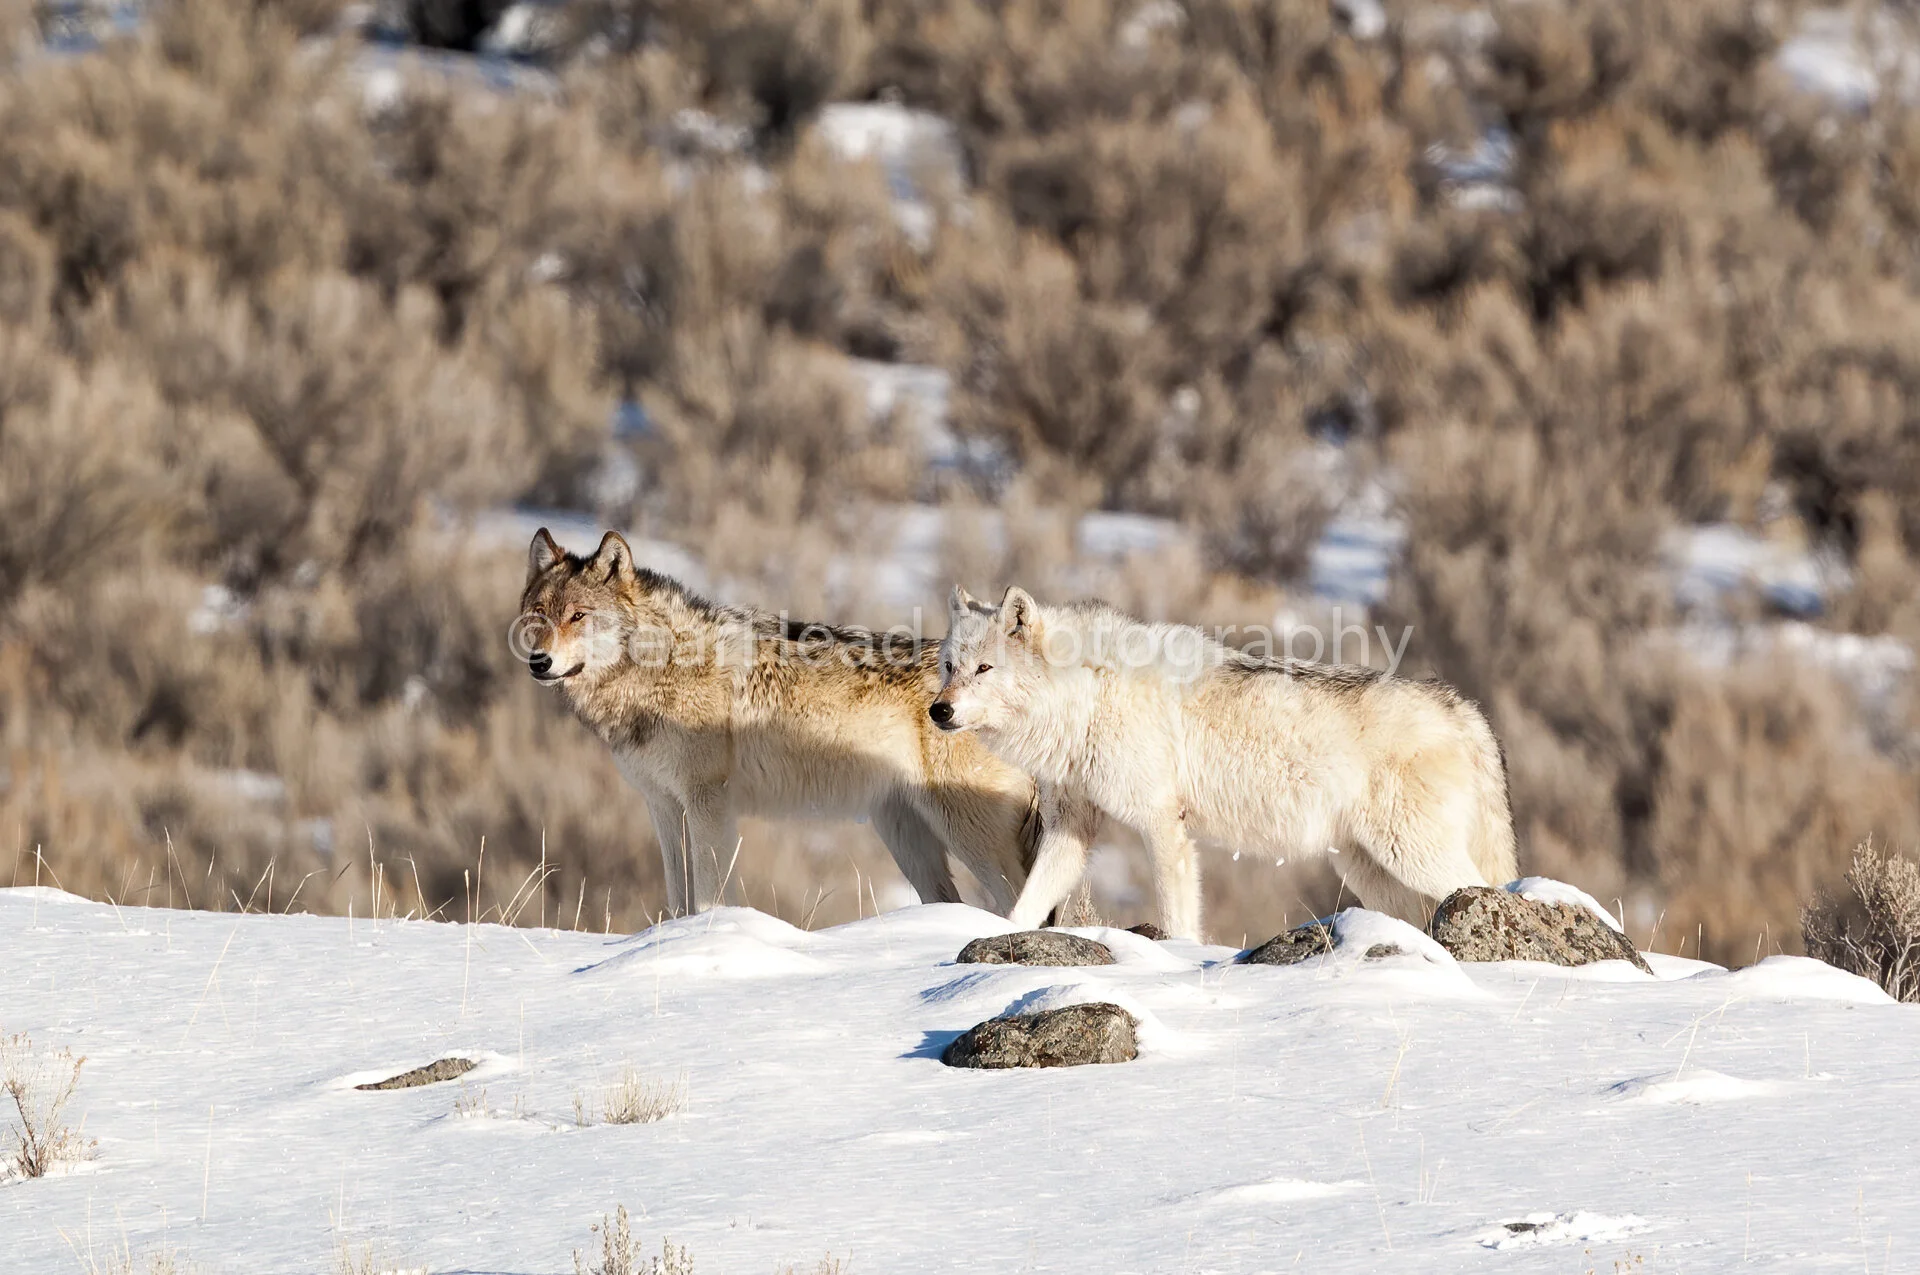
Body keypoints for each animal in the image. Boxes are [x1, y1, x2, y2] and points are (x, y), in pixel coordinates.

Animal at [518, 529, 1041, 917]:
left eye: (579, 616)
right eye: (538, 614)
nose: (539, 663)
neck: (659, 667)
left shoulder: (709, 802)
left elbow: (708, 898)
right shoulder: (662, 804)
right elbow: (678, 899)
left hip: (968, 835)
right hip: (905, 835)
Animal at [930, 586, 1517, 940]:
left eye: (984, 669)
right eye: (950, 667)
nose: (939, 710)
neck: (1088, 693)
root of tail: (1464, 708)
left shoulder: (1163, 825)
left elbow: (1176, 918)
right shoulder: (1070, 828)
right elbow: (1024, 908)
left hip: (1413, 856)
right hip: (1371, 871)